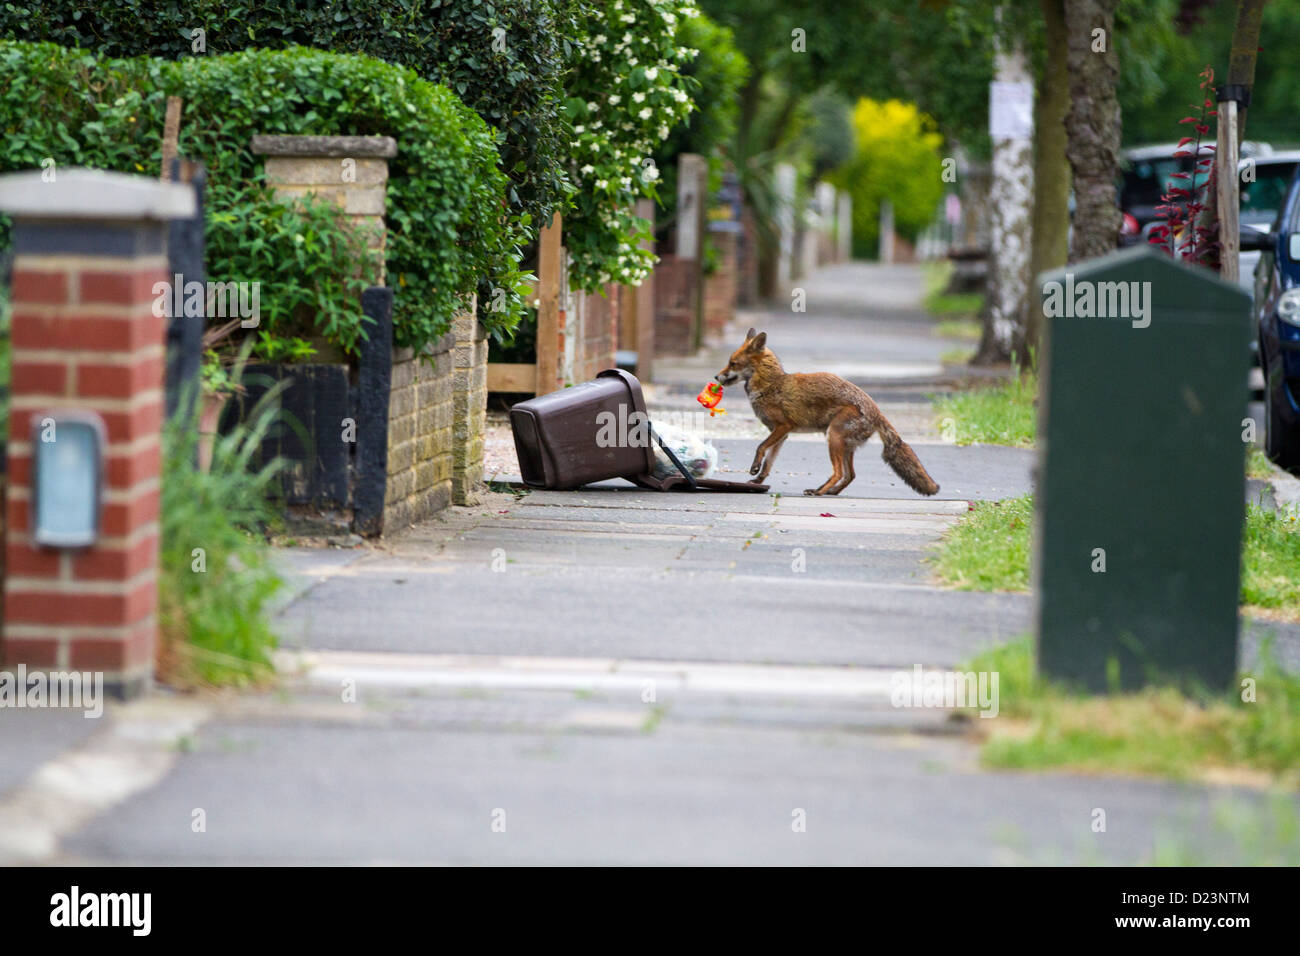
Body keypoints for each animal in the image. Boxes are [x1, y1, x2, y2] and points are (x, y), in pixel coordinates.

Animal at [717, 329, 941, 496]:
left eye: (732, 363)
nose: (716, 376)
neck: (770, 385)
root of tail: (877, 410)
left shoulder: (783, 426)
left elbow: (760, 447)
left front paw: (754, 467)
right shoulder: (782, 434)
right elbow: (769, 462)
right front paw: (759, 479)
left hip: (833, 437)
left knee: (838, 473)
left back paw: (818, 492)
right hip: (845, 446)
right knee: (850, 475)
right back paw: (830, 491)